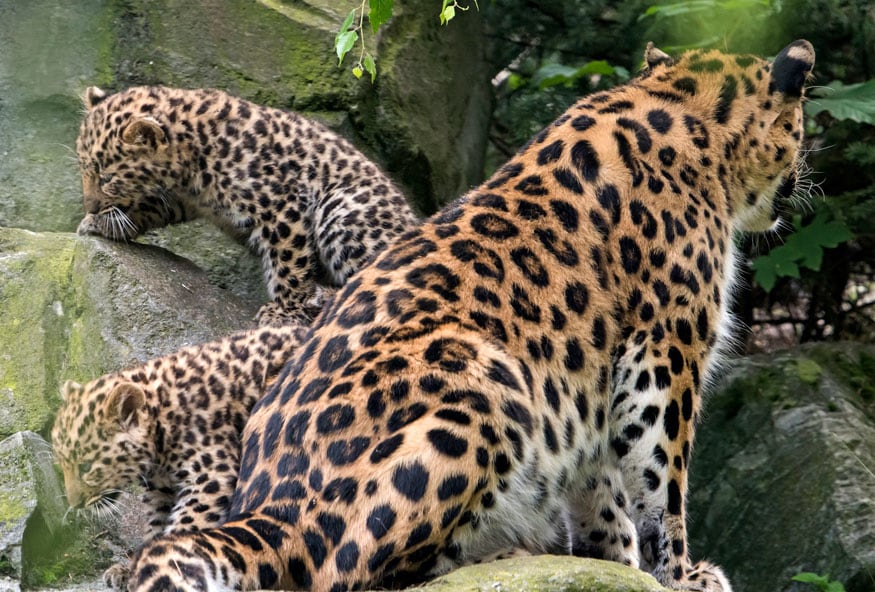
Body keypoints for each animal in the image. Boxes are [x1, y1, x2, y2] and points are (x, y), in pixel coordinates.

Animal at [51, 323, 308, 590]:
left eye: (86, 467)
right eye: (62, 466)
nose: (74, 504)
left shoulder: (211, 476)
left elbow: (185, 524)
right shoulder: (162, 491)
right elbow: (157, 525)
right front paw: (132, 567)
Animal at [74, 85, 419, 325]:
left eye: (107, 177)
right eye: (84, 169)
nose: (89, 205)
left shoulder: (282, 204)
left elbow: (289, 264)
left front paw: (286, 311)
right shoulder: (181, 200)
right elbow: (147, 207)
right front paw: (99, 223)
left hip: (343, 209)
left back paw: (323, 297)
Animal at [125, 40, 815, 592]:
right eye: (801, 128)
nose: (803, 176)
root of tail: (269, 511)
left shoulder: (589, 380)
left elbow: (601, 484)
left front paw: (617, 565)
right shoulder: (664, 349)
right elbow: (659, 472)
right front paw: (682, 573)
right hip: (484, 382)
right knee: (347, 574)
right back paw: (504, 557)